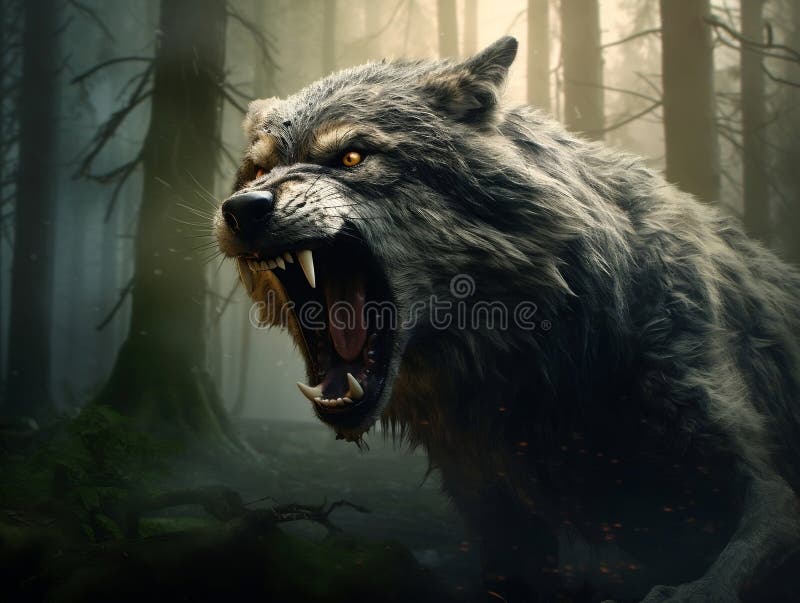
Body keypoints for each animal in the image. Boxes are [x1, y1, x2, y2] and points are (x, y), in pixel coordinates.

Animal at [215, 37, 800, 601]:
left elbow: (758, 531)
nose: (242, 208)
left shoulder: (749, 470)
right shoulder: (493, 511)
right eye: (259, 170)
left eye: (352, 157)